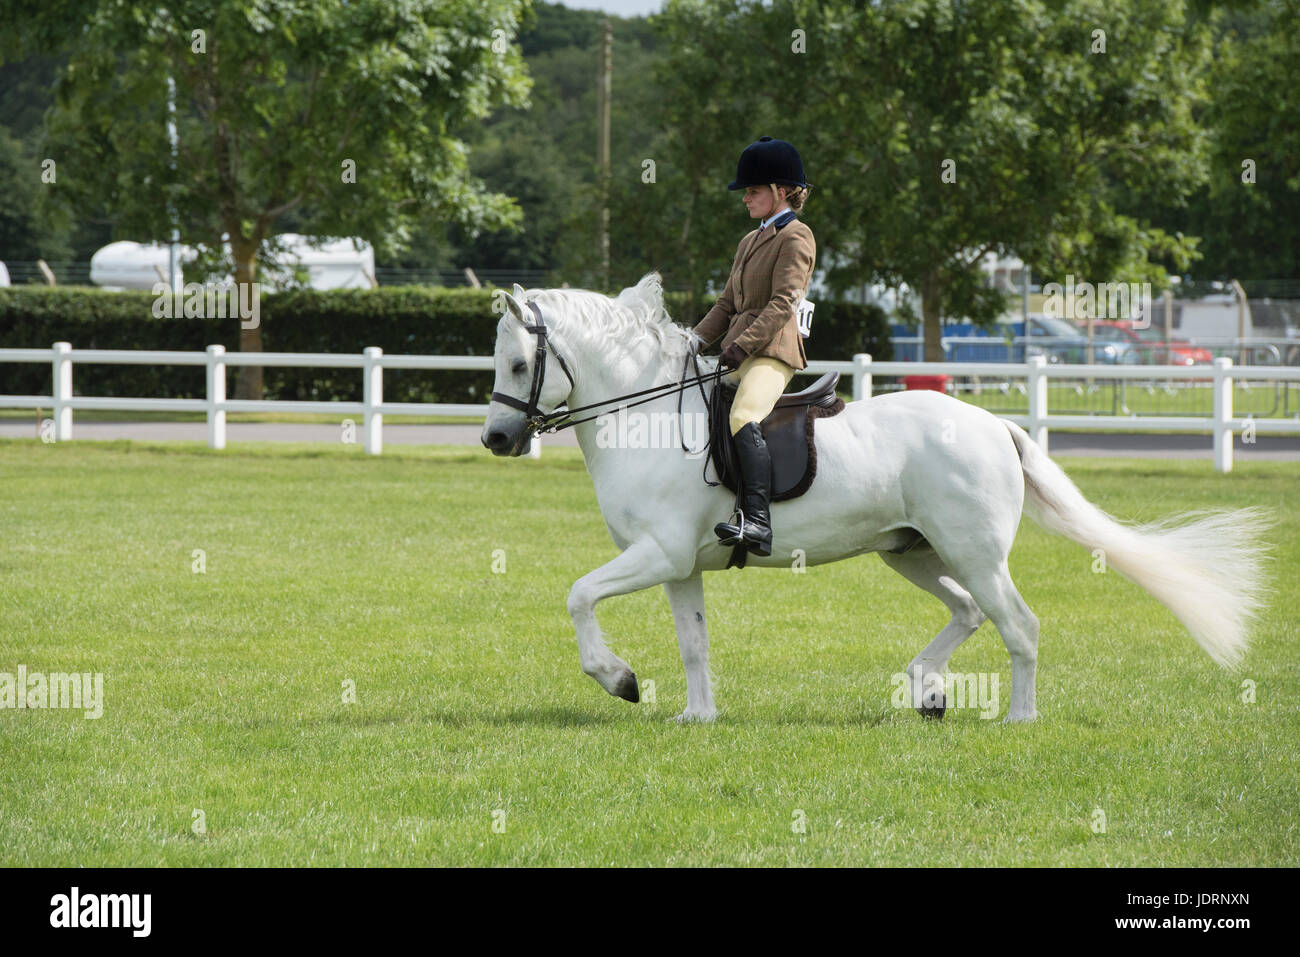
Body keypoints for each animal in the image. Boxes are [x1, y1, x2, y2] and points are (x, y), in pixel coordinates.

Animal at [480, 272, 1272, 723]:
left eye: (518, 363)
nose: (494, 438)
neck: (642, 415)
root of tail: (995, 425)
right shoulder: (680, 565)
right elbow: (694, 643)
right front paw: (697, 718)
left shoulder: (659, 554)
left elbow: (579, 595)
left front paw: (617, 679)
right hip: (912, 551)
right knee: (969, 612)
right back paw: (928, 690)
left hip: (974, 552)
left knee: (1017, 623)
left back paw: (1018, 718)